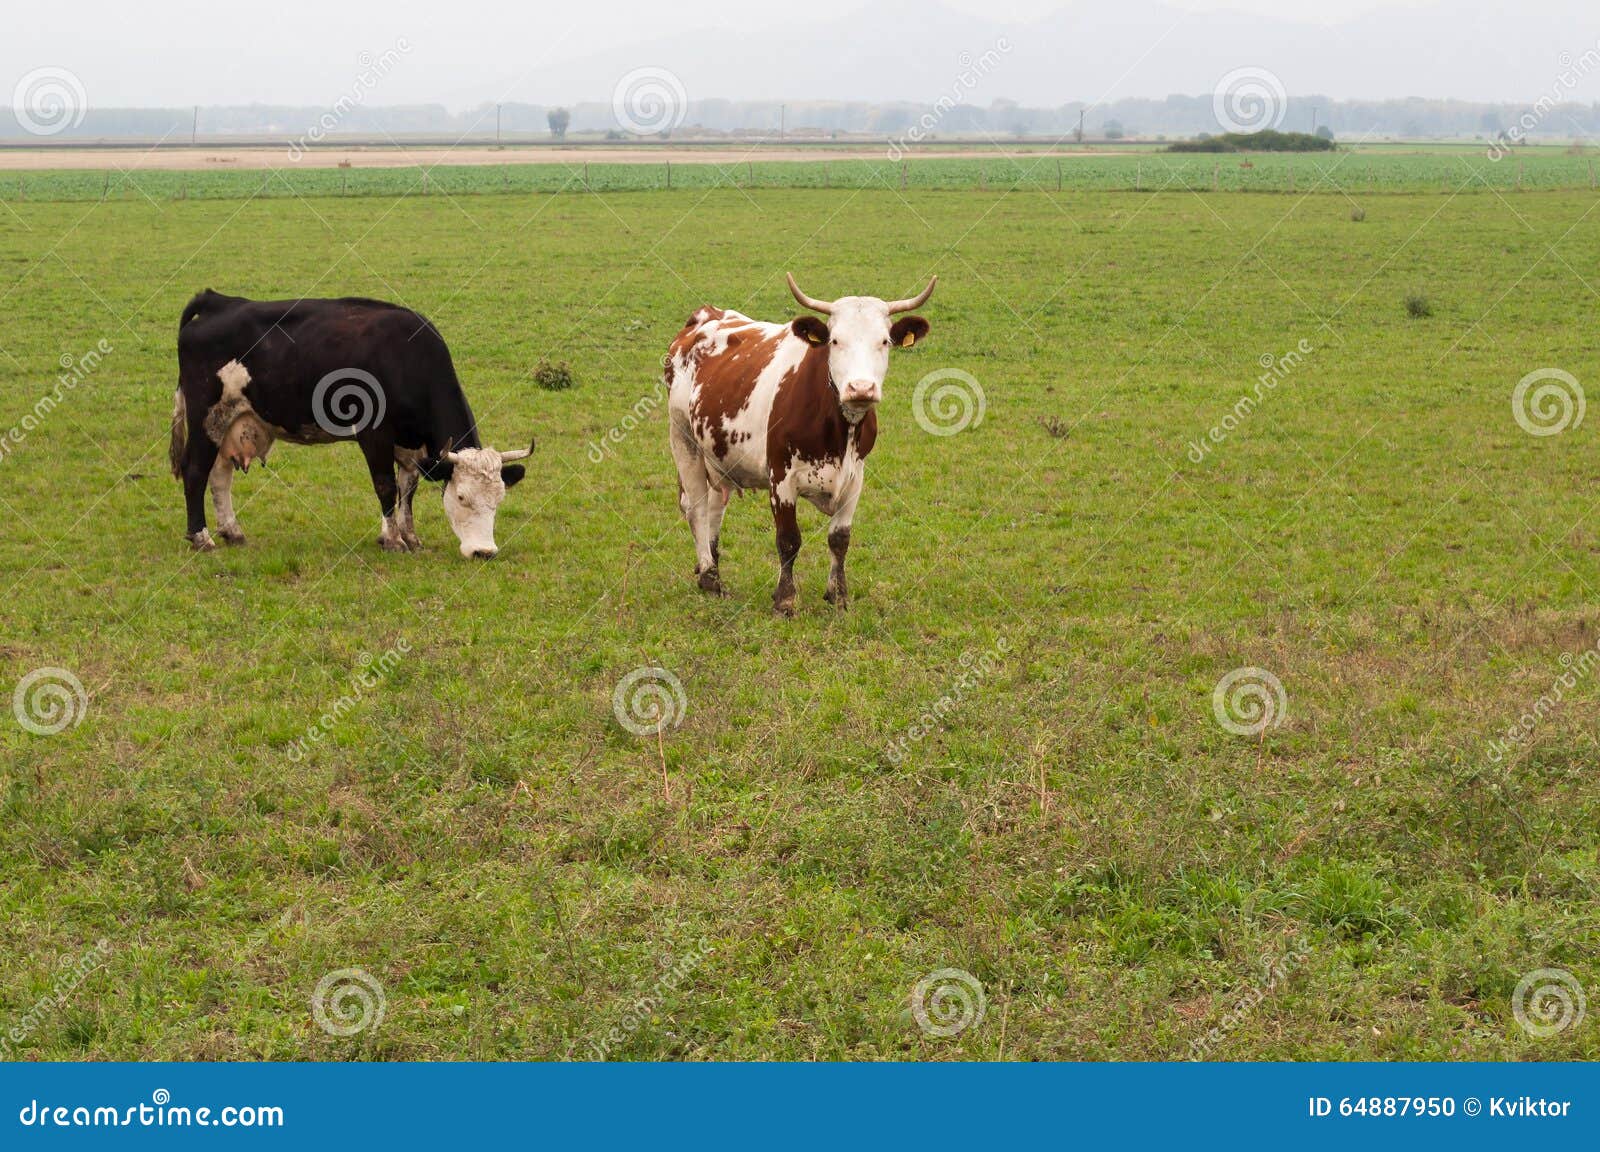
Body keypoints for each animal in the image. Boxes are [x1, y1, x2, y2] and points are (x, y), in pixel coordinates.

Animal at [170, 290, 533, 559]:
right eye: (461, 497)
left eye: (499, 499)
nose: (484, 552)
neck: (406, 359)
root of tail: (219, 301)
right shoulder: (375, 436)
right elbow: (386, 485)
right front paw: (392, 540)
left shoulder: (412, 446)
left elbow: (408, 489)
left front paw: (411, 536)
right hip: (207, 418)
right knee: (195, 471)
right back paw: (201, 537)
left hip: (233, 421)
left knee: (220, 475)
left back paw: (232, 531)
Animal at [665, 272, 935, 615]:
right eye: (835, 341)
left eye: (884, 341)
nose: (861, 388)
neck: (839, 432)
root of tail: (706, 315)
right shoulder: (780, 476)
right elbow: (788, 539)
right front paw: (785, 599)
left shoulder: (856, 476)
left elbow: (840, 539)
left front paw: (838, 596)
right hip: (683, 438)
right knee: (696, 507)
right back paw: (709, 577)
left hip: (717, 454)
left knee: (715, 507)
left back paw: (711, 568)